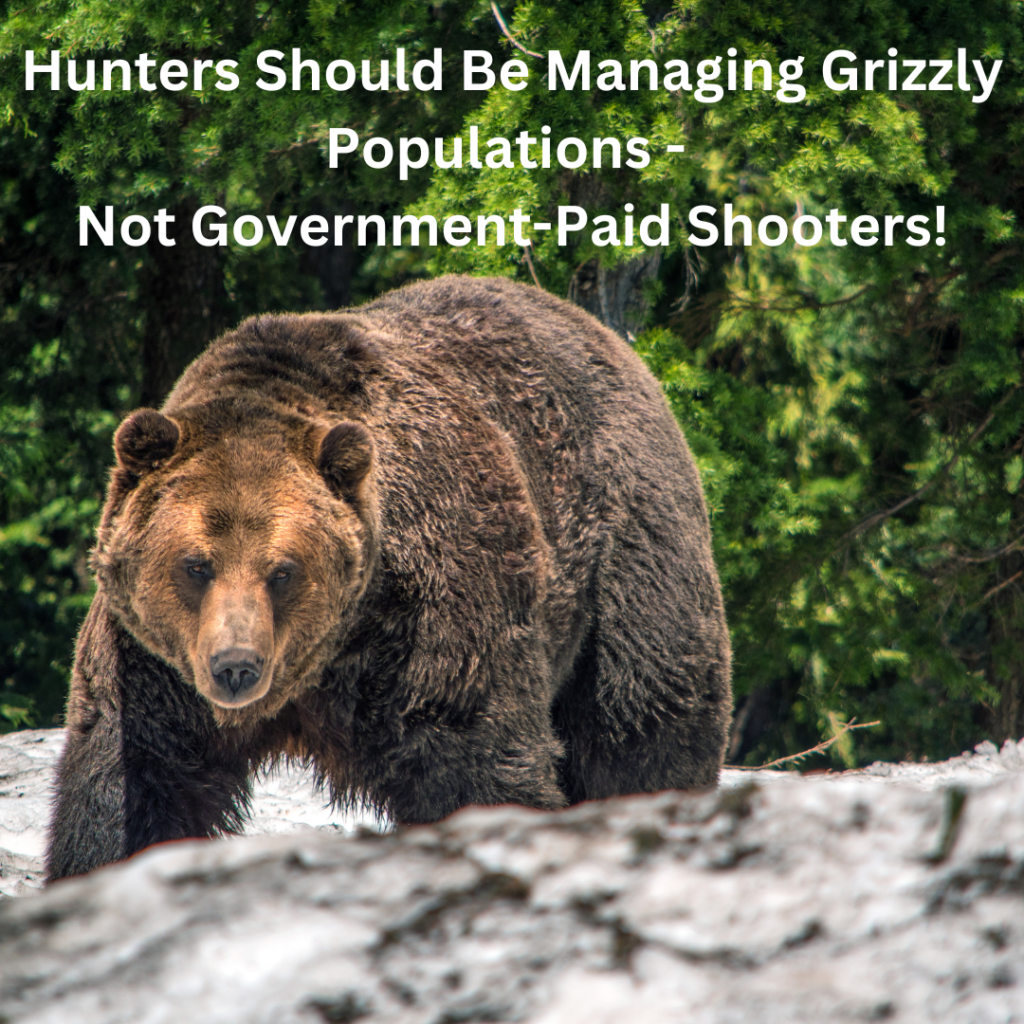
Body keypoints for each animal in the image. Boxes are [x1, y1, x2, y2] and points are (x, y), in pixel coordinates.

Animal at [46, 275, 732, 881]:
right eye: (196, 565)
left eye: (283, 570)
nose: (236, 666)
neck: (319, 665)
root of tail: (600, 334)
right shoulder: (153, 667)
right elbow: (128, 788)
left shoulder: (428, 615)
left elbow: (474, 760)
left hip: (626, 547)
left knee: (643, 713)